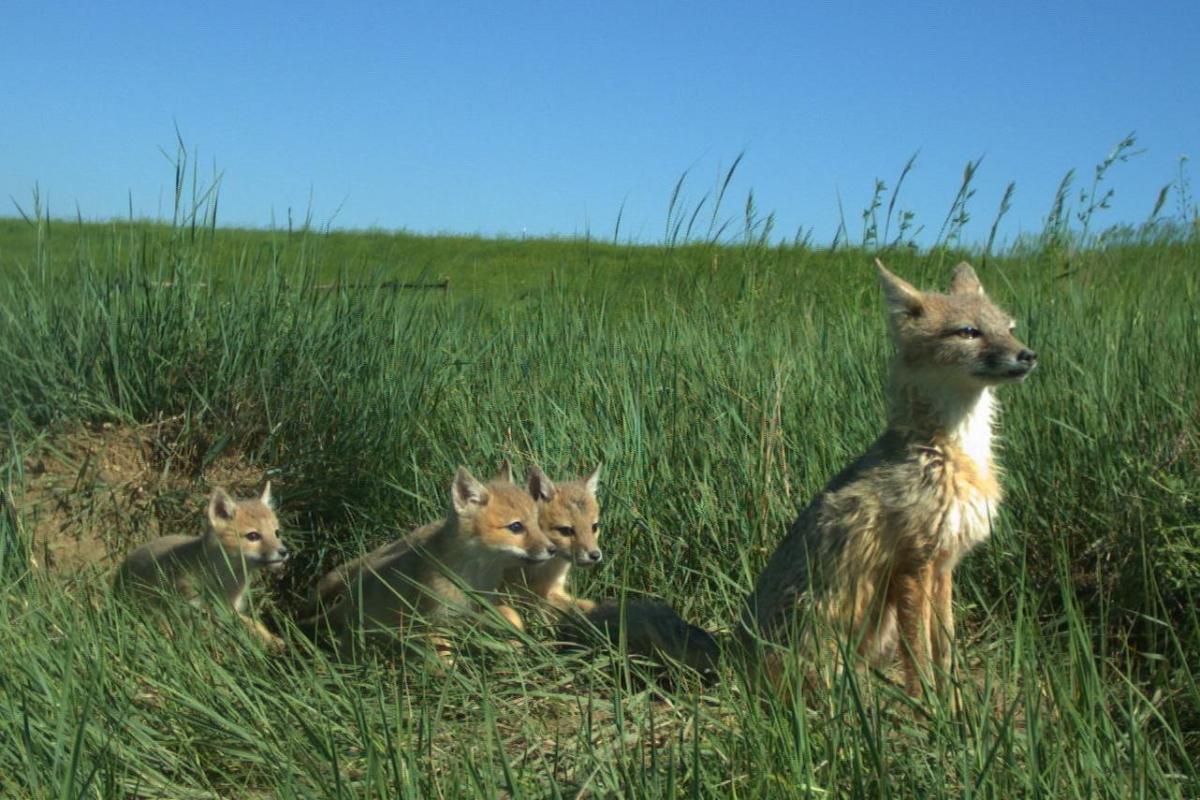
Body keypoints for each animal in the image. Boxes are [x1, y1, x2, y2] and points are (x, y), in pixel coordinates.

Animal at [113, 483, 289, 649]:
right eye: (253, 536)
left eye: (277, 533)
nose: (284, 552)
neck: (225, 581)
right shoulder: (193, 606)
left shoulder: (228, 609)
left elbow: (252, 623)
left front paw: (273, 640)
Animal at [739, 259, 1037, 700]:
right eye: (969, 331)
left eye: (1009, 328)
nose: (1028, 355)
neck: (954, 451)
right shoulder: (913, 567)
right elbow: (920, 658)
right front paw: (928, 708)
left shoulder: (943, 566)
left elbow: (945, 650)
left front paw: (955, 704)